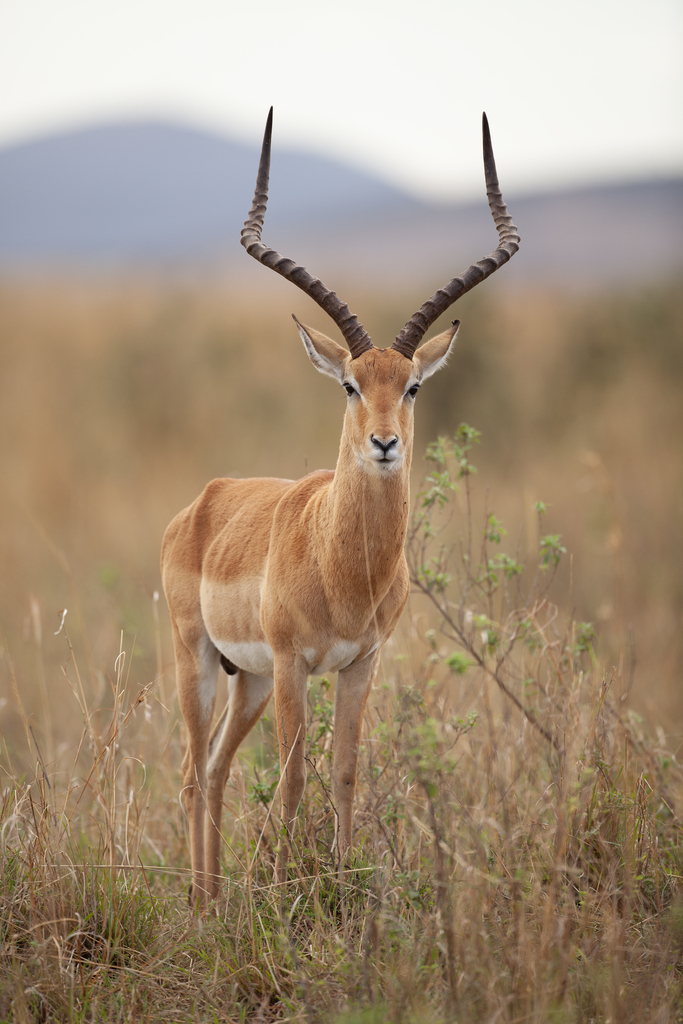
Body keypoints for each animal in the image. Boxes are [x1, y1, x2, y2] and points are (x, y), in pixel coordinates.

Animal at [161, 109, 519, 909]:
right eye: (351, 384)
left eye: (411, 385)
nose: (384, 443)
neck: (339, 560)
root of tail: (203, 502)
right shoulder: (296, 664)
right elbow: (295, 778)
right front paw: (287, 896)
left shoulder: (360, 663)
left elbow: (347, 771)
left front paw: (346, 890)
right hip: (199, 657)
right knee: (193, 773)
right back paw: (200, 908)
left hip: (249, 679)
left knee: (217, 769)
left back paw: (217, 898)